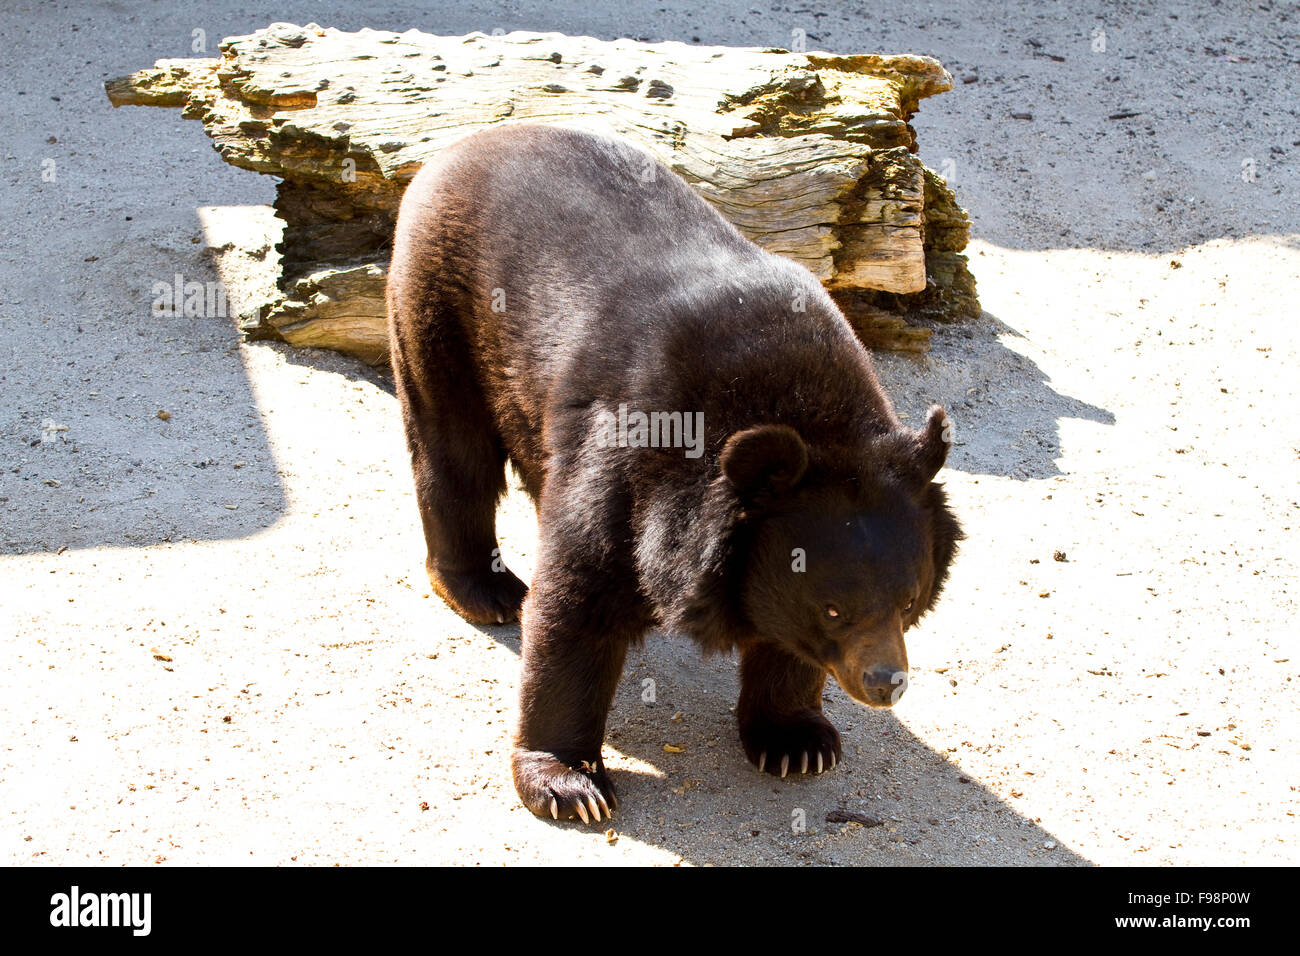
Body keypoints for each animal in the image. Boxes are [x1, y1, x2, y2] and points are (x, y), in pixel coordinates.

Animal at [386, 124, 962, 824]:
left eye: (908, 601)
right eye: (833, 609)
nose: (886, 685)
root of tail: (467, 143)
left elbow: (780, 637)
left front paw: (797, 743)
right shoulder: (629, 458)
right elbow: (576, 605)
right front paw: (569, 785)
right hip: (441, 306)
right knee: (454, 451)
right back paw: (487, 591)